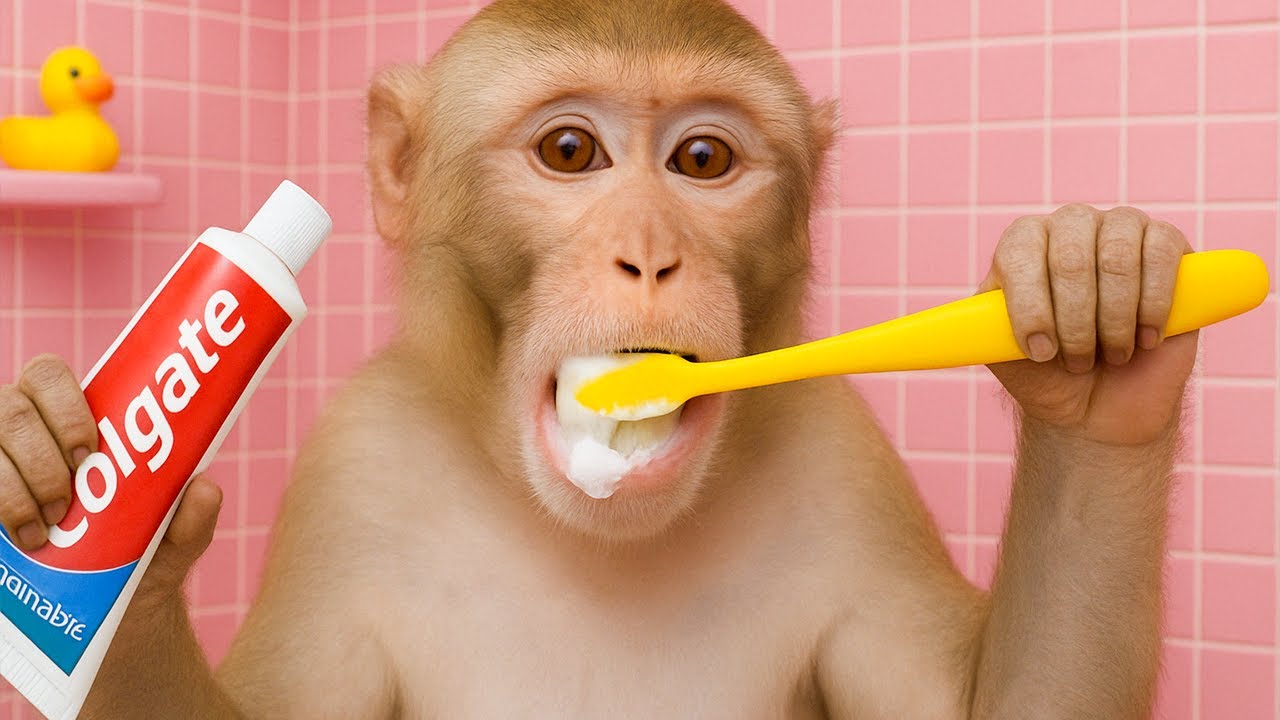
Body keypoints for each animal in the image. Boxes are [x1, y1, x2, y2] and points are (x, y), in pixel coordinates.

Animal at [0, 1, 1194, 717]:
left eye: (702, 160)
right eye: (569, 150)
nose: (651, 254)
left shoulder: (844, 457)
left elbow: (996, 706)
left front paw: (1092, 331)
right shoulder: (354, 465)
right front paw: (73, 469)